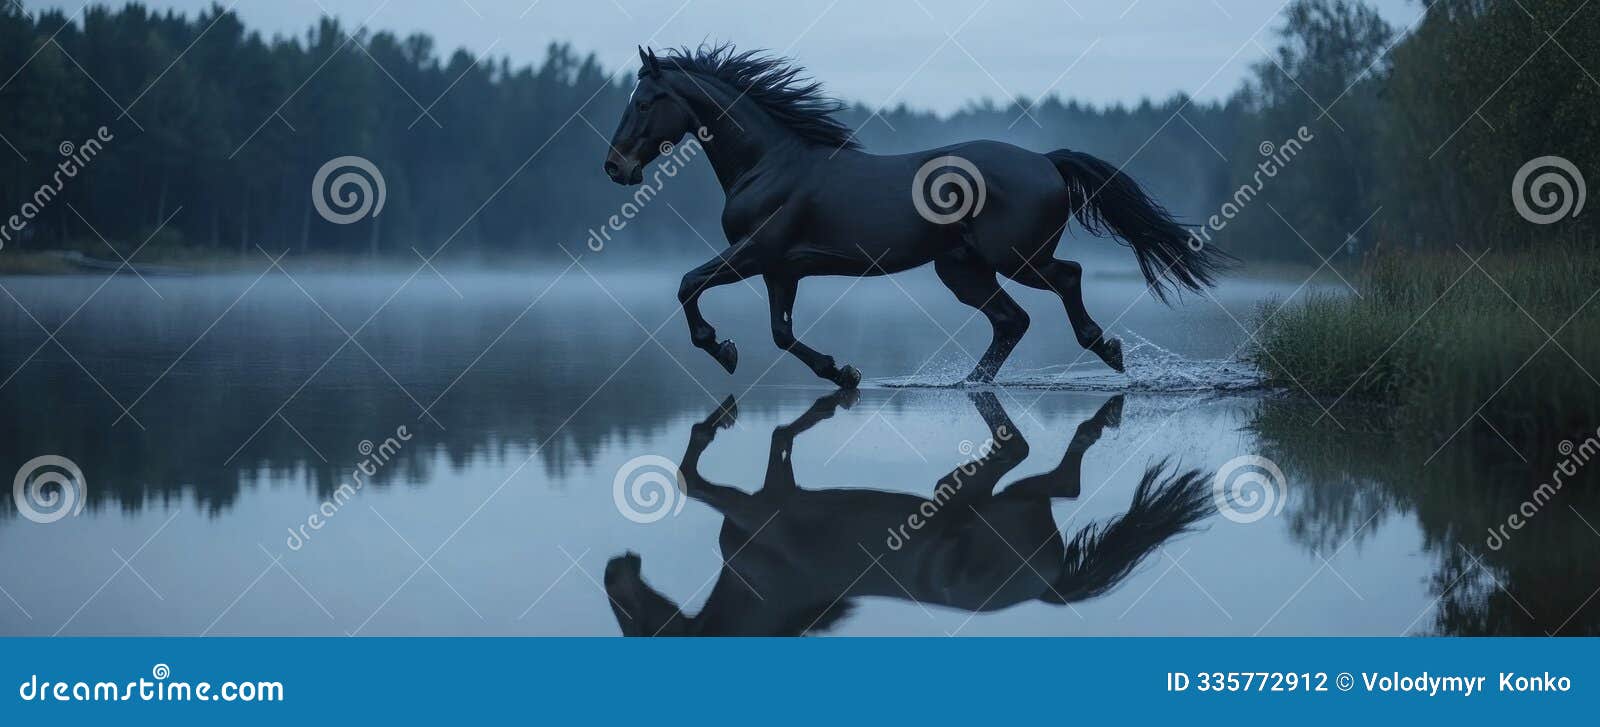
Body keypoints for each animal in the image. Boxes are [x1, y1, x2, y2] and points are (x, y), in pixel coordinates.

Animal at [602, 391, 1213, 636]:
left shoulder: (757, 508)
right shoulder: (778, 488)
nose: (617, 569)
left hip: (984, 500)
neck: (764, 592)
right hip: (1014, 500)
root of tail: (1048, 585)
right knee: (1062, 481)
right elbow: (782, 436)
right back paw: (1098, 424)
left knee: (1029, 458)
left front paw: (718, 418)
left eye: (635, 629)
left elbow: (689, 476)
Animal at [603, 44, 1231, 388]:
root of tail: (1046, 161)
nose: (615, 167)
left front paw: (721, 348)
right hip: (961, 268)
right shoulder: (782, 269)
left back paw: (1108, 350)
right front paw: (844, 373)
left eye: (643, 103)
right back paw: (967, 383)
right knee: (1012, 321)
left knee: (1066, 278)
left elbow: (688, 284)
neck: (769, 164)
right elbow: (782, 335)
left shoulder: (757, 253)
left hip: (1014, 256)